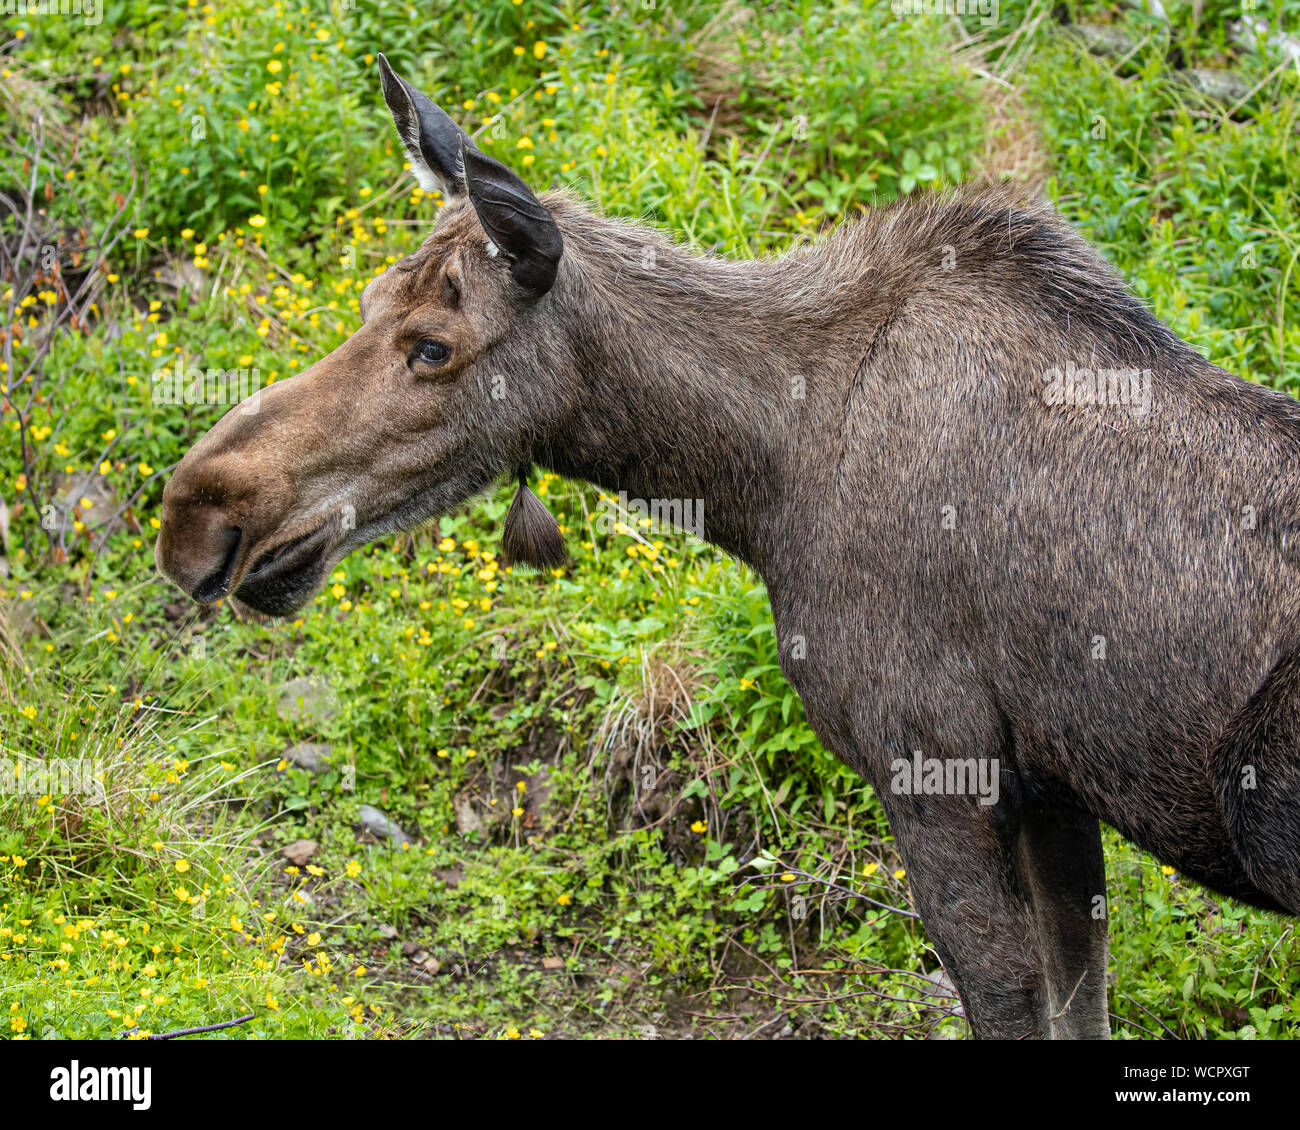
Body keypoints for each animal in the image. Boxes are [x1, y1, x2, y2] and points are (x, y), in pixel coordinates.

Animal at [155, 56, 1300, 1039]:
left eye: (432, 346)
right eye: (365, 302)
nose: (197, 514)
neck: (760, 481)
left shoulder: (933, 768)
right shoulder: (1054, 793)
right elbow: (1081, 998)